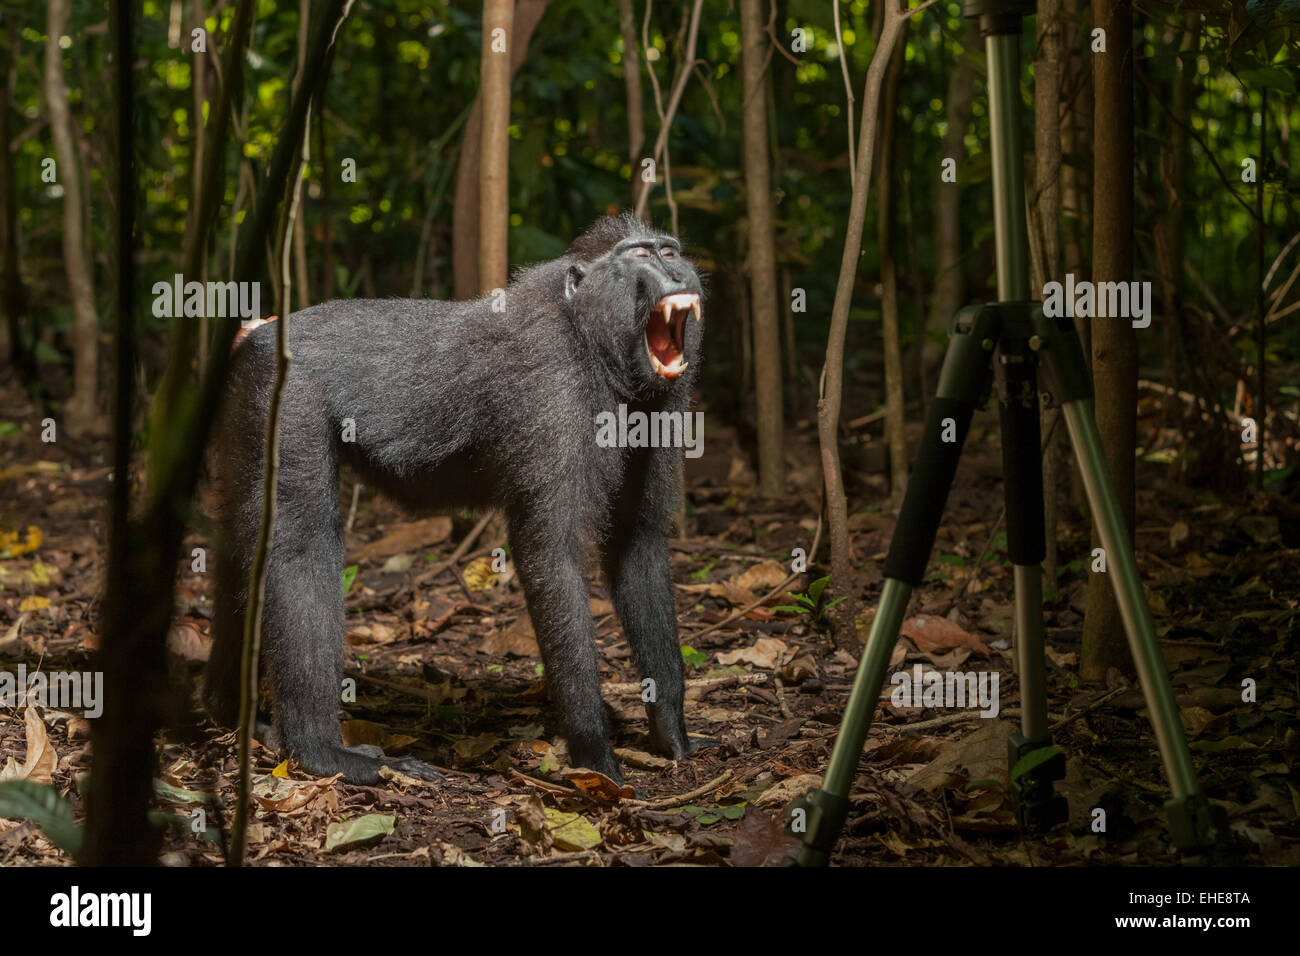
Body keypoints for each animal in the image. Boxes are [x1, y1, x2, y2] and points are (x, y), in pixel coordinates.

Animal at [204, 213, 707, 785]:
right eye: (641, 254)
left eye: (670, 250)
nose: (676, 267)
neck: (589, 339)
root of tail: (261, 332)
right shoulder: (552, 386)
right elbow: (549, 554)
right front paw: (595, 758)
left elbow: (635, 541)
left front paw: (672, 732)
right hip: (281, 395)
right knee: (299, 547)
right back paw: (318, 751)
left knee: (241, 552)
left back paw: (229, 712)